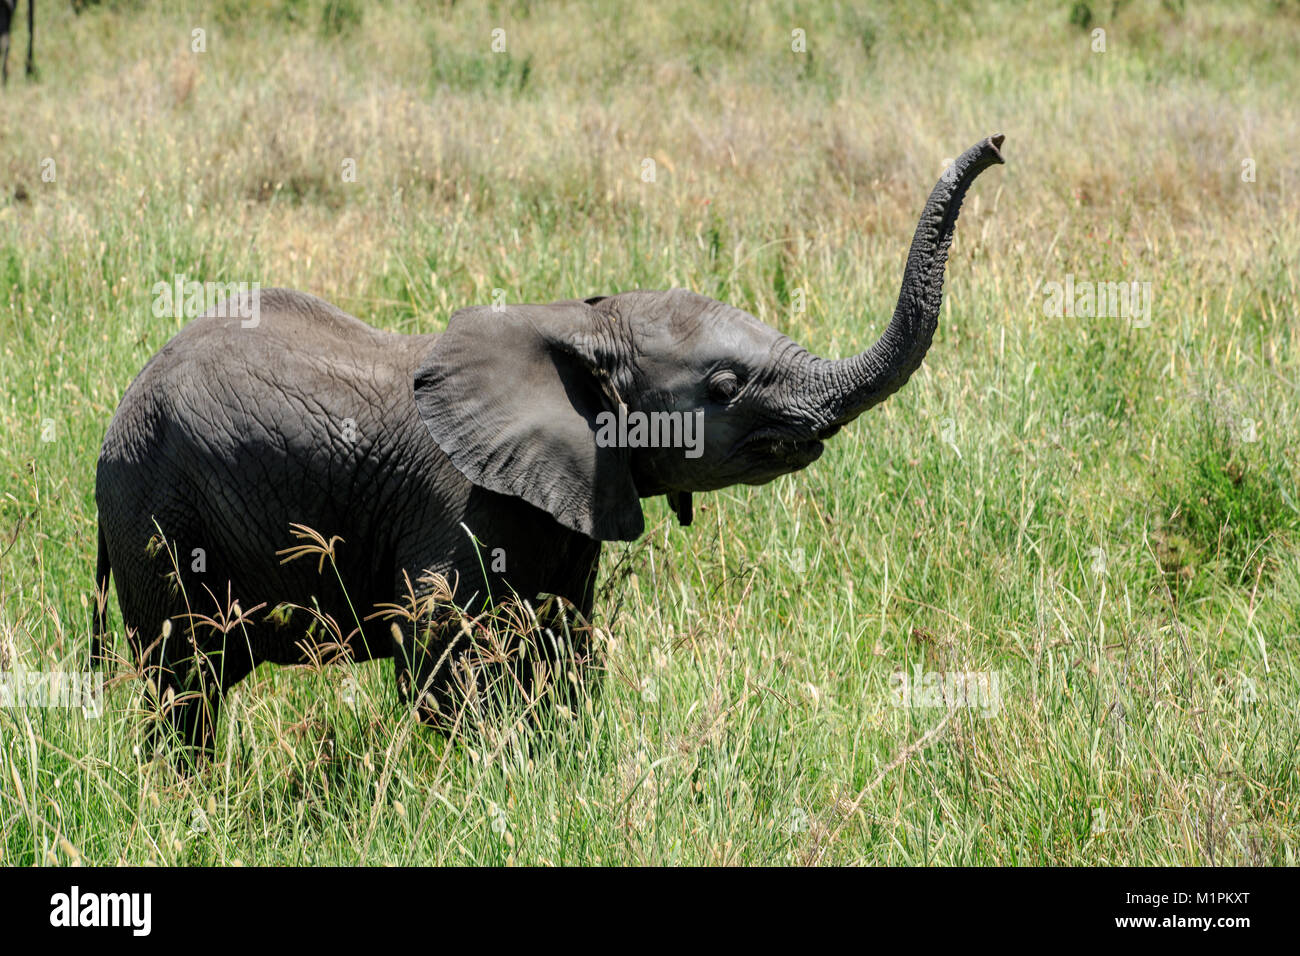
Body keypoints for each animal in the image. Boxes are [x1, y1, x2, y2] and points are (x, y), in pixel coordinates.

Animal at [92, 134, 1005, 759]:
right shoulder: (457, 506)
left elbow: (566, 650)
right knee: (181, 681)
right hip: (155, 510)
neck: (578, 324)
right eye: (723, 386)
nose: (996, 146)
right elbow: (445, 661)